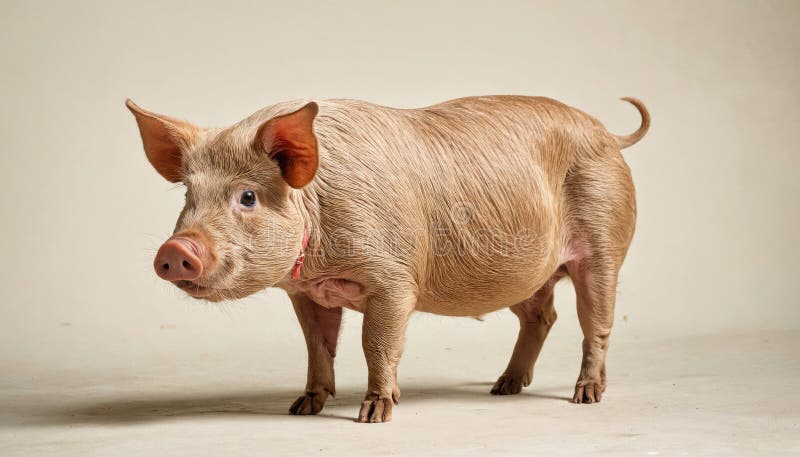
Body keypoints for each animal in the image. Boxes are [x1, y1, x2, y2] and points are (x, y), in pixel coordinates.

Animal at [127, 95, 649, 423]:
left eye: (248, 197)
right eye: (188, 196)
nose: (176, 250)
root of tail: (610, 135)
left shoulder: (394, 281)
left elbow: (376, 345)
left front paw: (374, 414)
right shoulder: (306, 292)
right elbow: (317, 346)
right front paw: (302, 406)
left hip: (604, 245)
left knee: (596, 322)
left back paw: (585, 397)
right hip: (525, 274)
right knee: (542, 315)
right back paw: (503, 387)